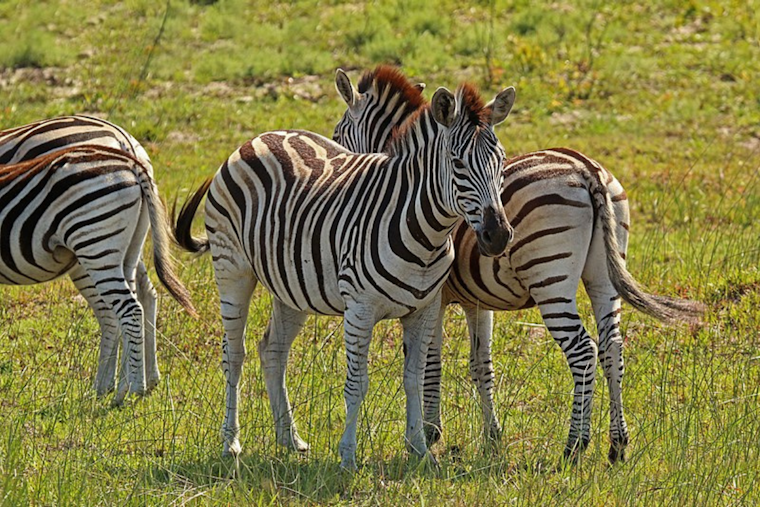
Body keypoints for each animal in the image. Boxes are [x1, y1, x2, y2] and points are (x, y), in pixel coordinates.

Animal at [0, 144, 196, 404]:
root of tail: (132, 163)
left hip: (95, 244)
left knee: (130, 311)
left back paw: (134, 389)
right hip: (128, 250)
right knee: (131, 305)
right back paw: (120, 387)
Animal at [173, 81, 516, 469]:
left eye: (502, 161)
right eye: (457, 163)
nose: (497, 235)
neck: (426, 233)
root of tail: (259, 137)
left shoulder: (425, 309)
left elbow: (413, 377)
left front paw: (419, 449)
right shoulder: (360, 310)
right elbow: (358, 383)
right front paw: (348, 455)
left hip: (291, 287)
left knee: (272, 350)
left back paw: (289, 438)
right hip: (232, 269)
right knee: (234, 355)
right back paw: (231, 441)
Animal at [332, 66, 705, 463]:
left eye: (337, 136)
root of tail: (586, 170)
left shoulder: (435, 297)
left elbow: (431, 362)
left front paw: (431, 431)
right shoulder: (476, 301)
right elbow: (481, 365)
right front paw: (491, 436)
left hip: (550, 278)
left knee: (583, 351)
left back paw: (575, 446)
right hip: (604, 274)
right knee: (612, 348)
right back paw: (617, 444)